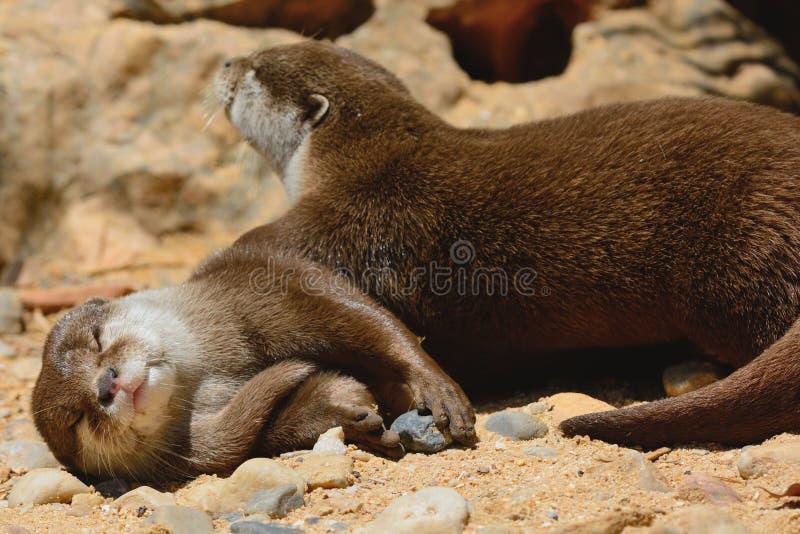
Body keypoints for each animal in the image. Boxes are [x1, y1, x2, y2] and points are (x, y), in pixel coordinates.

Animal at [31, 250, 472, 481]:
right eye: (76, 417)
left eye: (97, 339)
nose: (105, 385)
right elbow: (270, 431)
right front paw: (346, 415)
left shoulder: (265, 285)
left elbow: (370, 323)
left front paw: (439, 389)